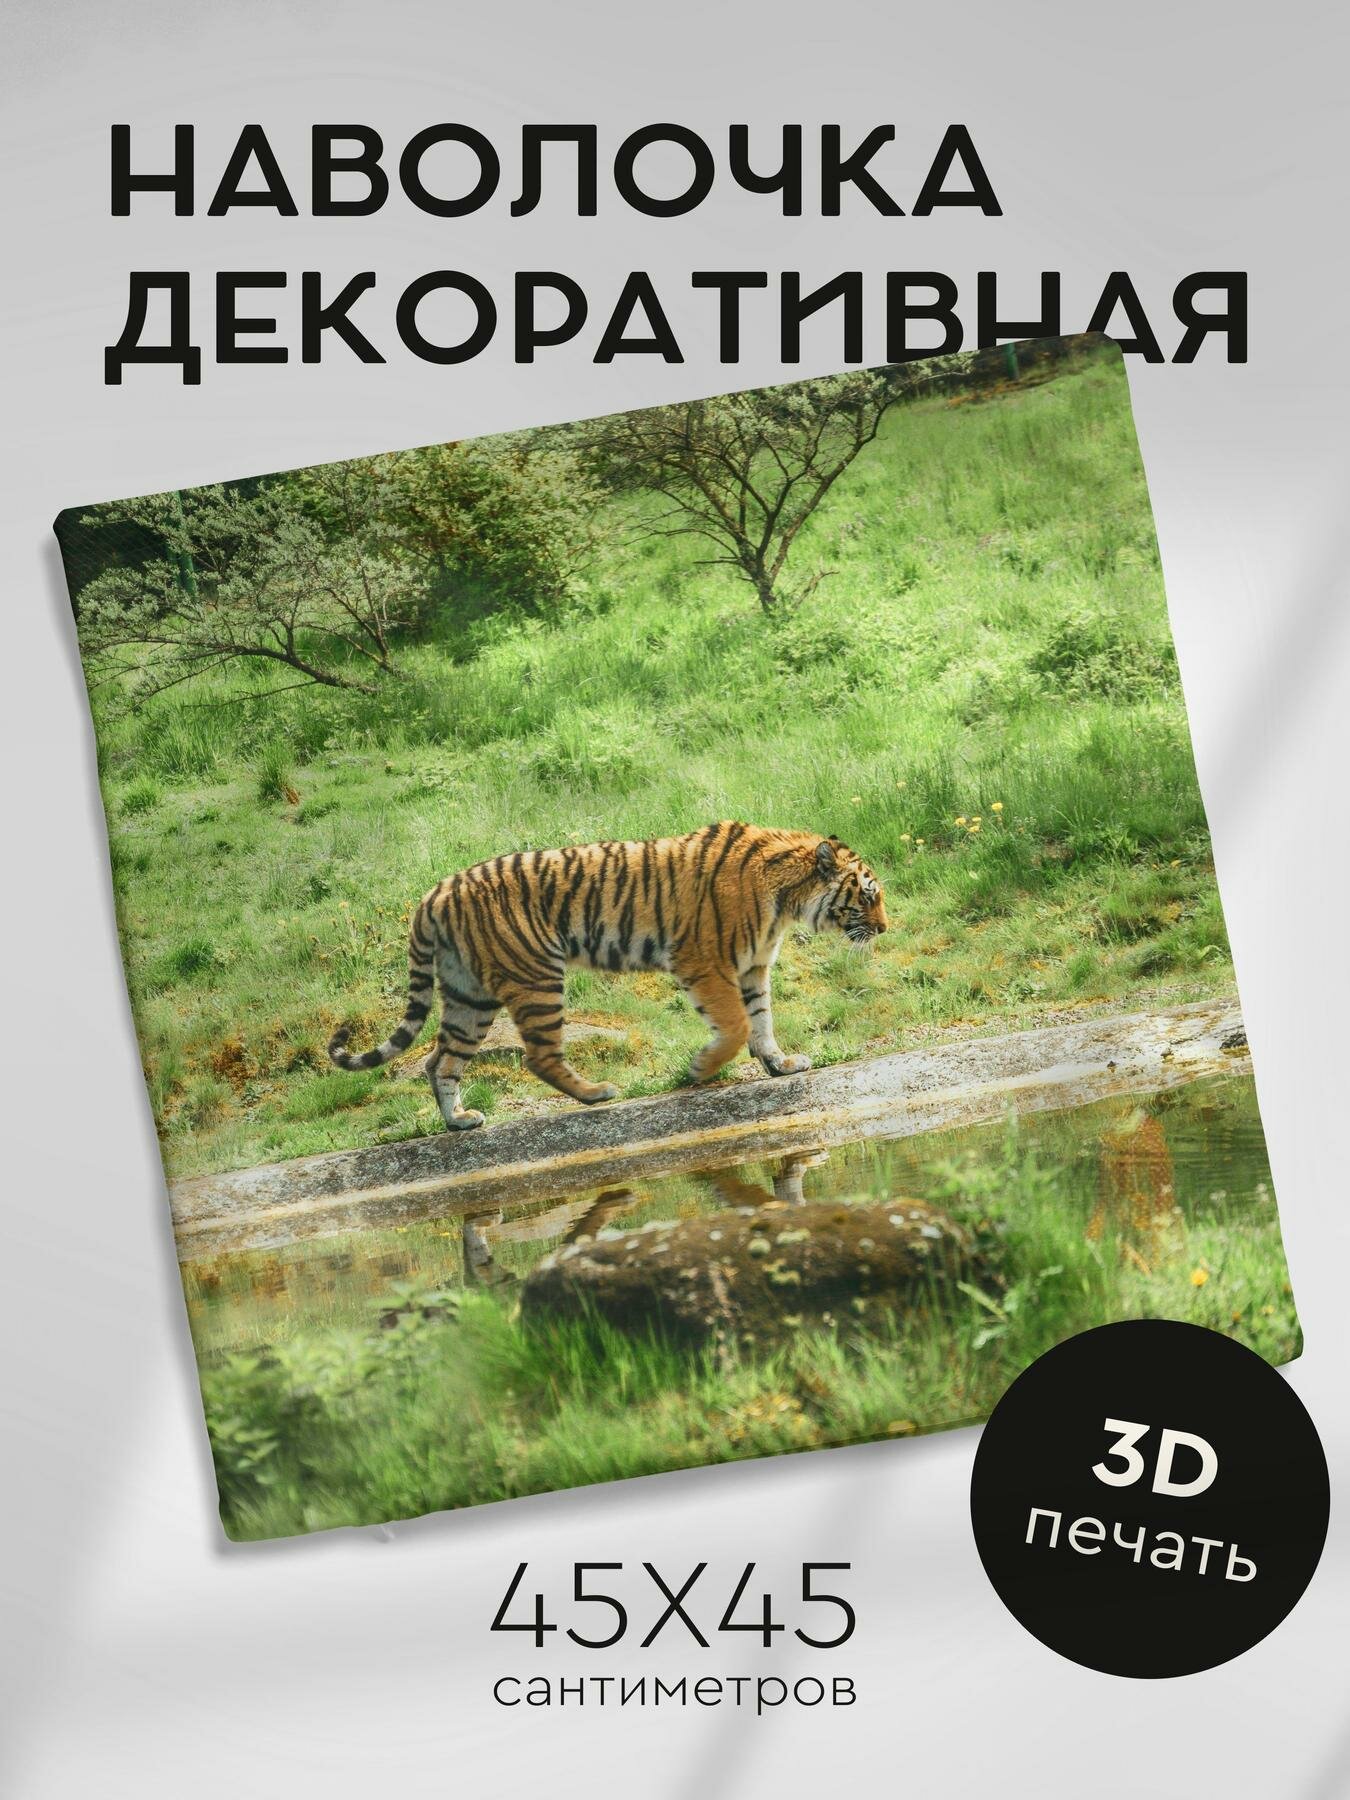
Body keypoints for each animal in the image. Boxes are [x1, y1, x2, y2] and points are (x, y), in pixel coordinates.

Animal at [328, 821, 888, 1131]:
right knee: (538, 1056)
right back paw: (598, 1093)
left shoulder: (752, 967)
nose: (884, 928)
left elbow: (762, 1021)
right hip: (536, 978)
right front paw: (701, 1070)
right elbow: (735, 1026)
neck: (786, 896)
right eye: (868, 895)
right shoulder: (703, 962)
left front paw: (781, 1064)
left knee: (439, 1062)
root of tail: (432, 894)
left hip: (470, 995)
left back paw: (459, 1122)